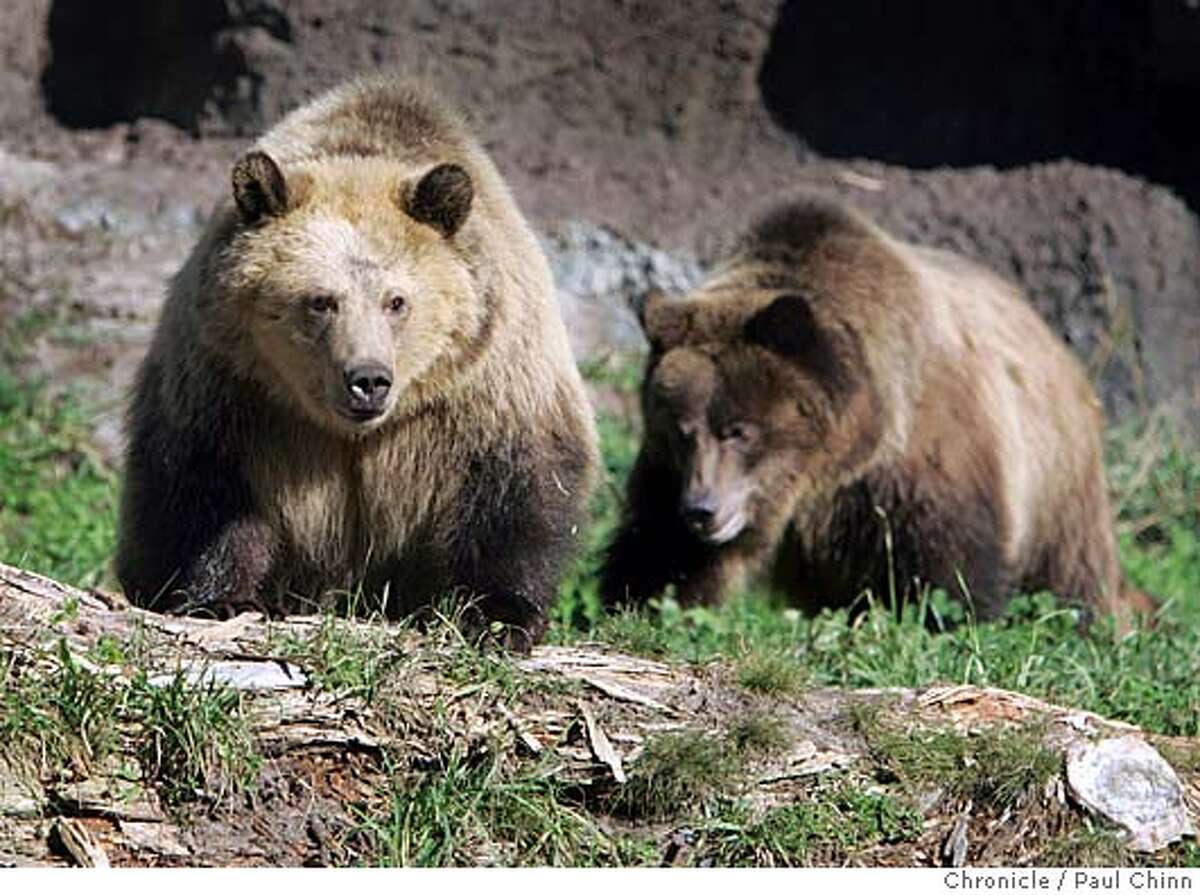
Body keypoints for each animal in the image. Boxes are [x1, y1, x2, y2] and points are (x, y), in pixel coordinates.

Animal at [115, 75, 599, 649]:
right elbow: (206, 488)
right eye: (321, 300)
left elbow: (513, 489)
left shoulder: (486, 384)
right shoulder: (233, 386)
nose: (368, 380)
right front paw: (223, 597)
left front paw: (498, 616)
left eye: (397, 301)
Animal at [599, 193, 1154, 625]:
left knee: (1069, 572)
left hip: (1057, 475)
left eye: (740, 430)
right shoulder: (673, 478)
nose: (702, 510)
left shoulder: (917, 460)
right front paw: (641, 602)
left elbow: (947, 567)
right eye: (681, 430)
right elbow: (661, 549)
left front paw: (947, 619)